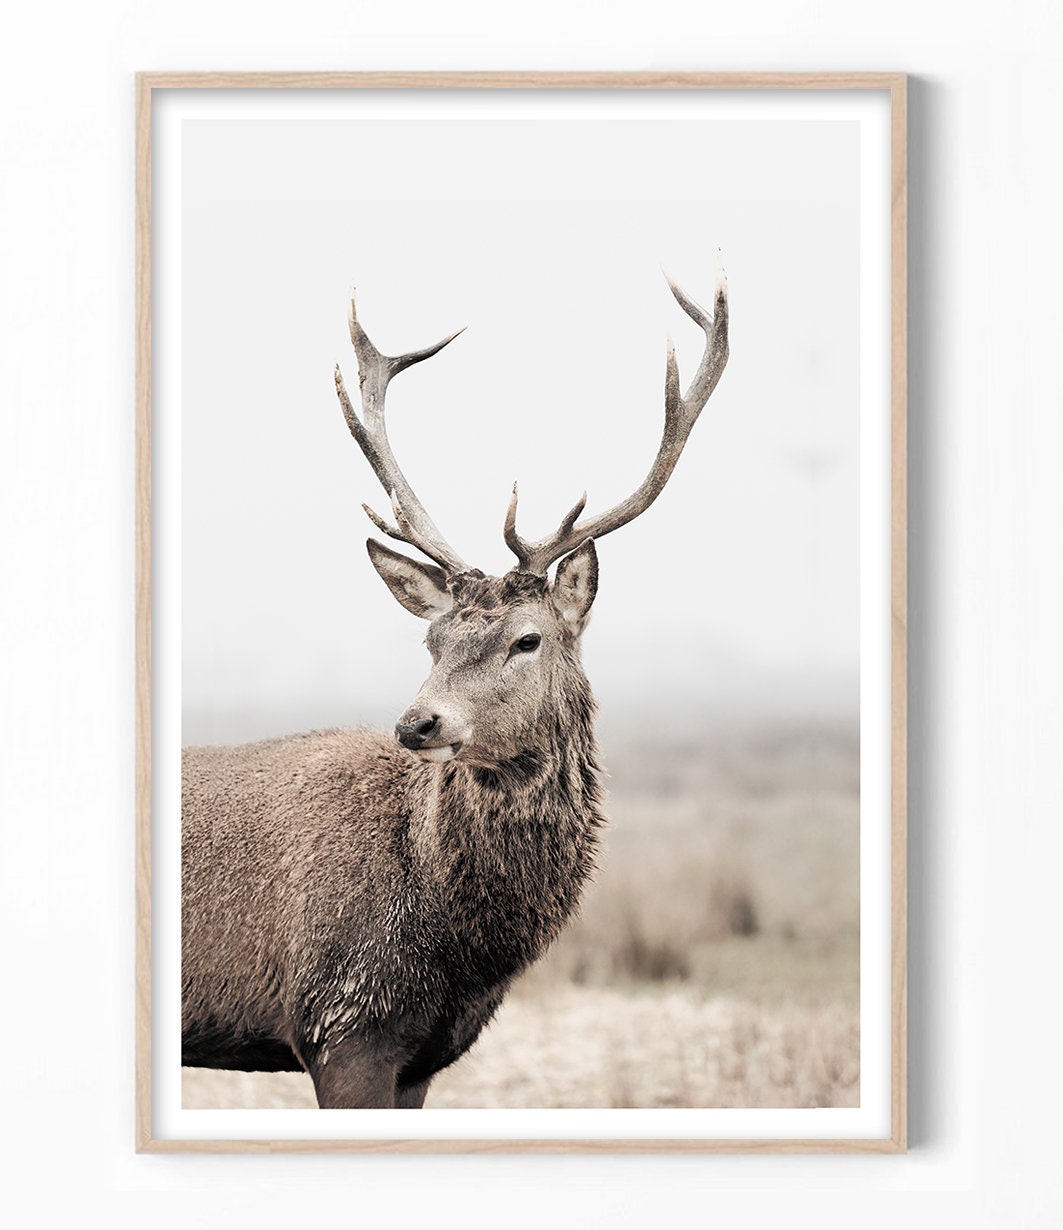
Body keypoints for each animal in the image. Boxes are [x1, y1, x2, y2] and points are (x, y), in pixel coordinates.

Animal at [181, 263, 729, 1109]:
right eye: (432, 639)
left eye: (527, 639)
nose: (418, 723)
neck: (456, 952)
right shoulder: (342, 1024)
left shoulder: (422, 1057)